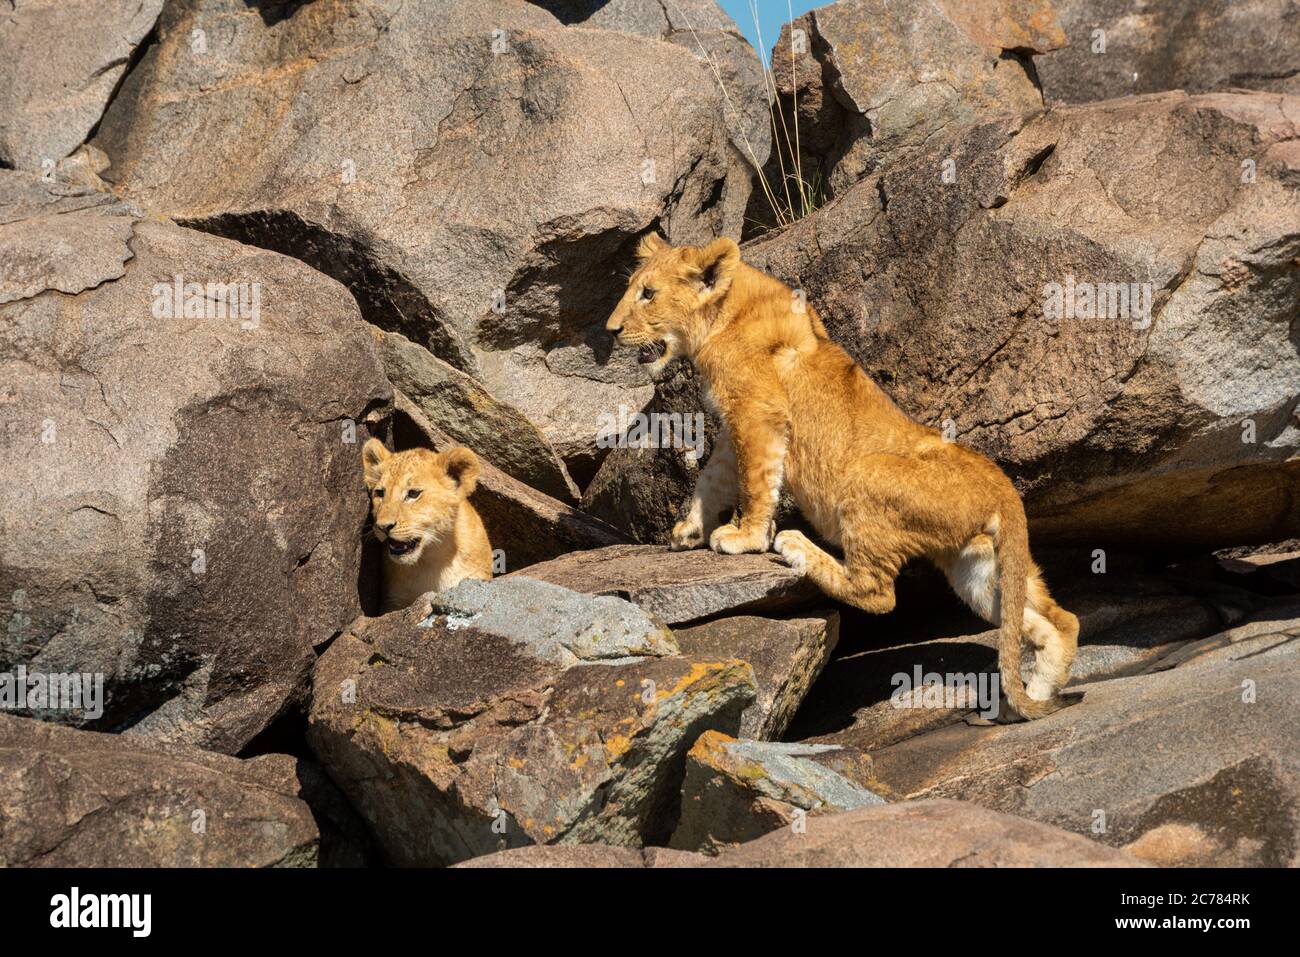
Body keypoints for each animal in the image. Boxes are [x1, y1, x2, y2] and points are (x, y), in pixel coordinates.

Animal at [605, 233, 1079, 719]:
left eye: (648, 293)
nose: (611, 330)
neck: (724, 315)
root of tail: (1001, 486)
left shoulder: (757, 413)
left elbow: (755, 482)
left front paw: (745, 537)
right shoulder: (733, 426)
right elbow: (714, 478)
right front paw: (691, 530)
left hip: (868, 476)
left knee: (877, 593)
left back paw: (795, 546)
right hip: (976, 567)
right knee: (1058, 621)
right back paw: (1036, 696)